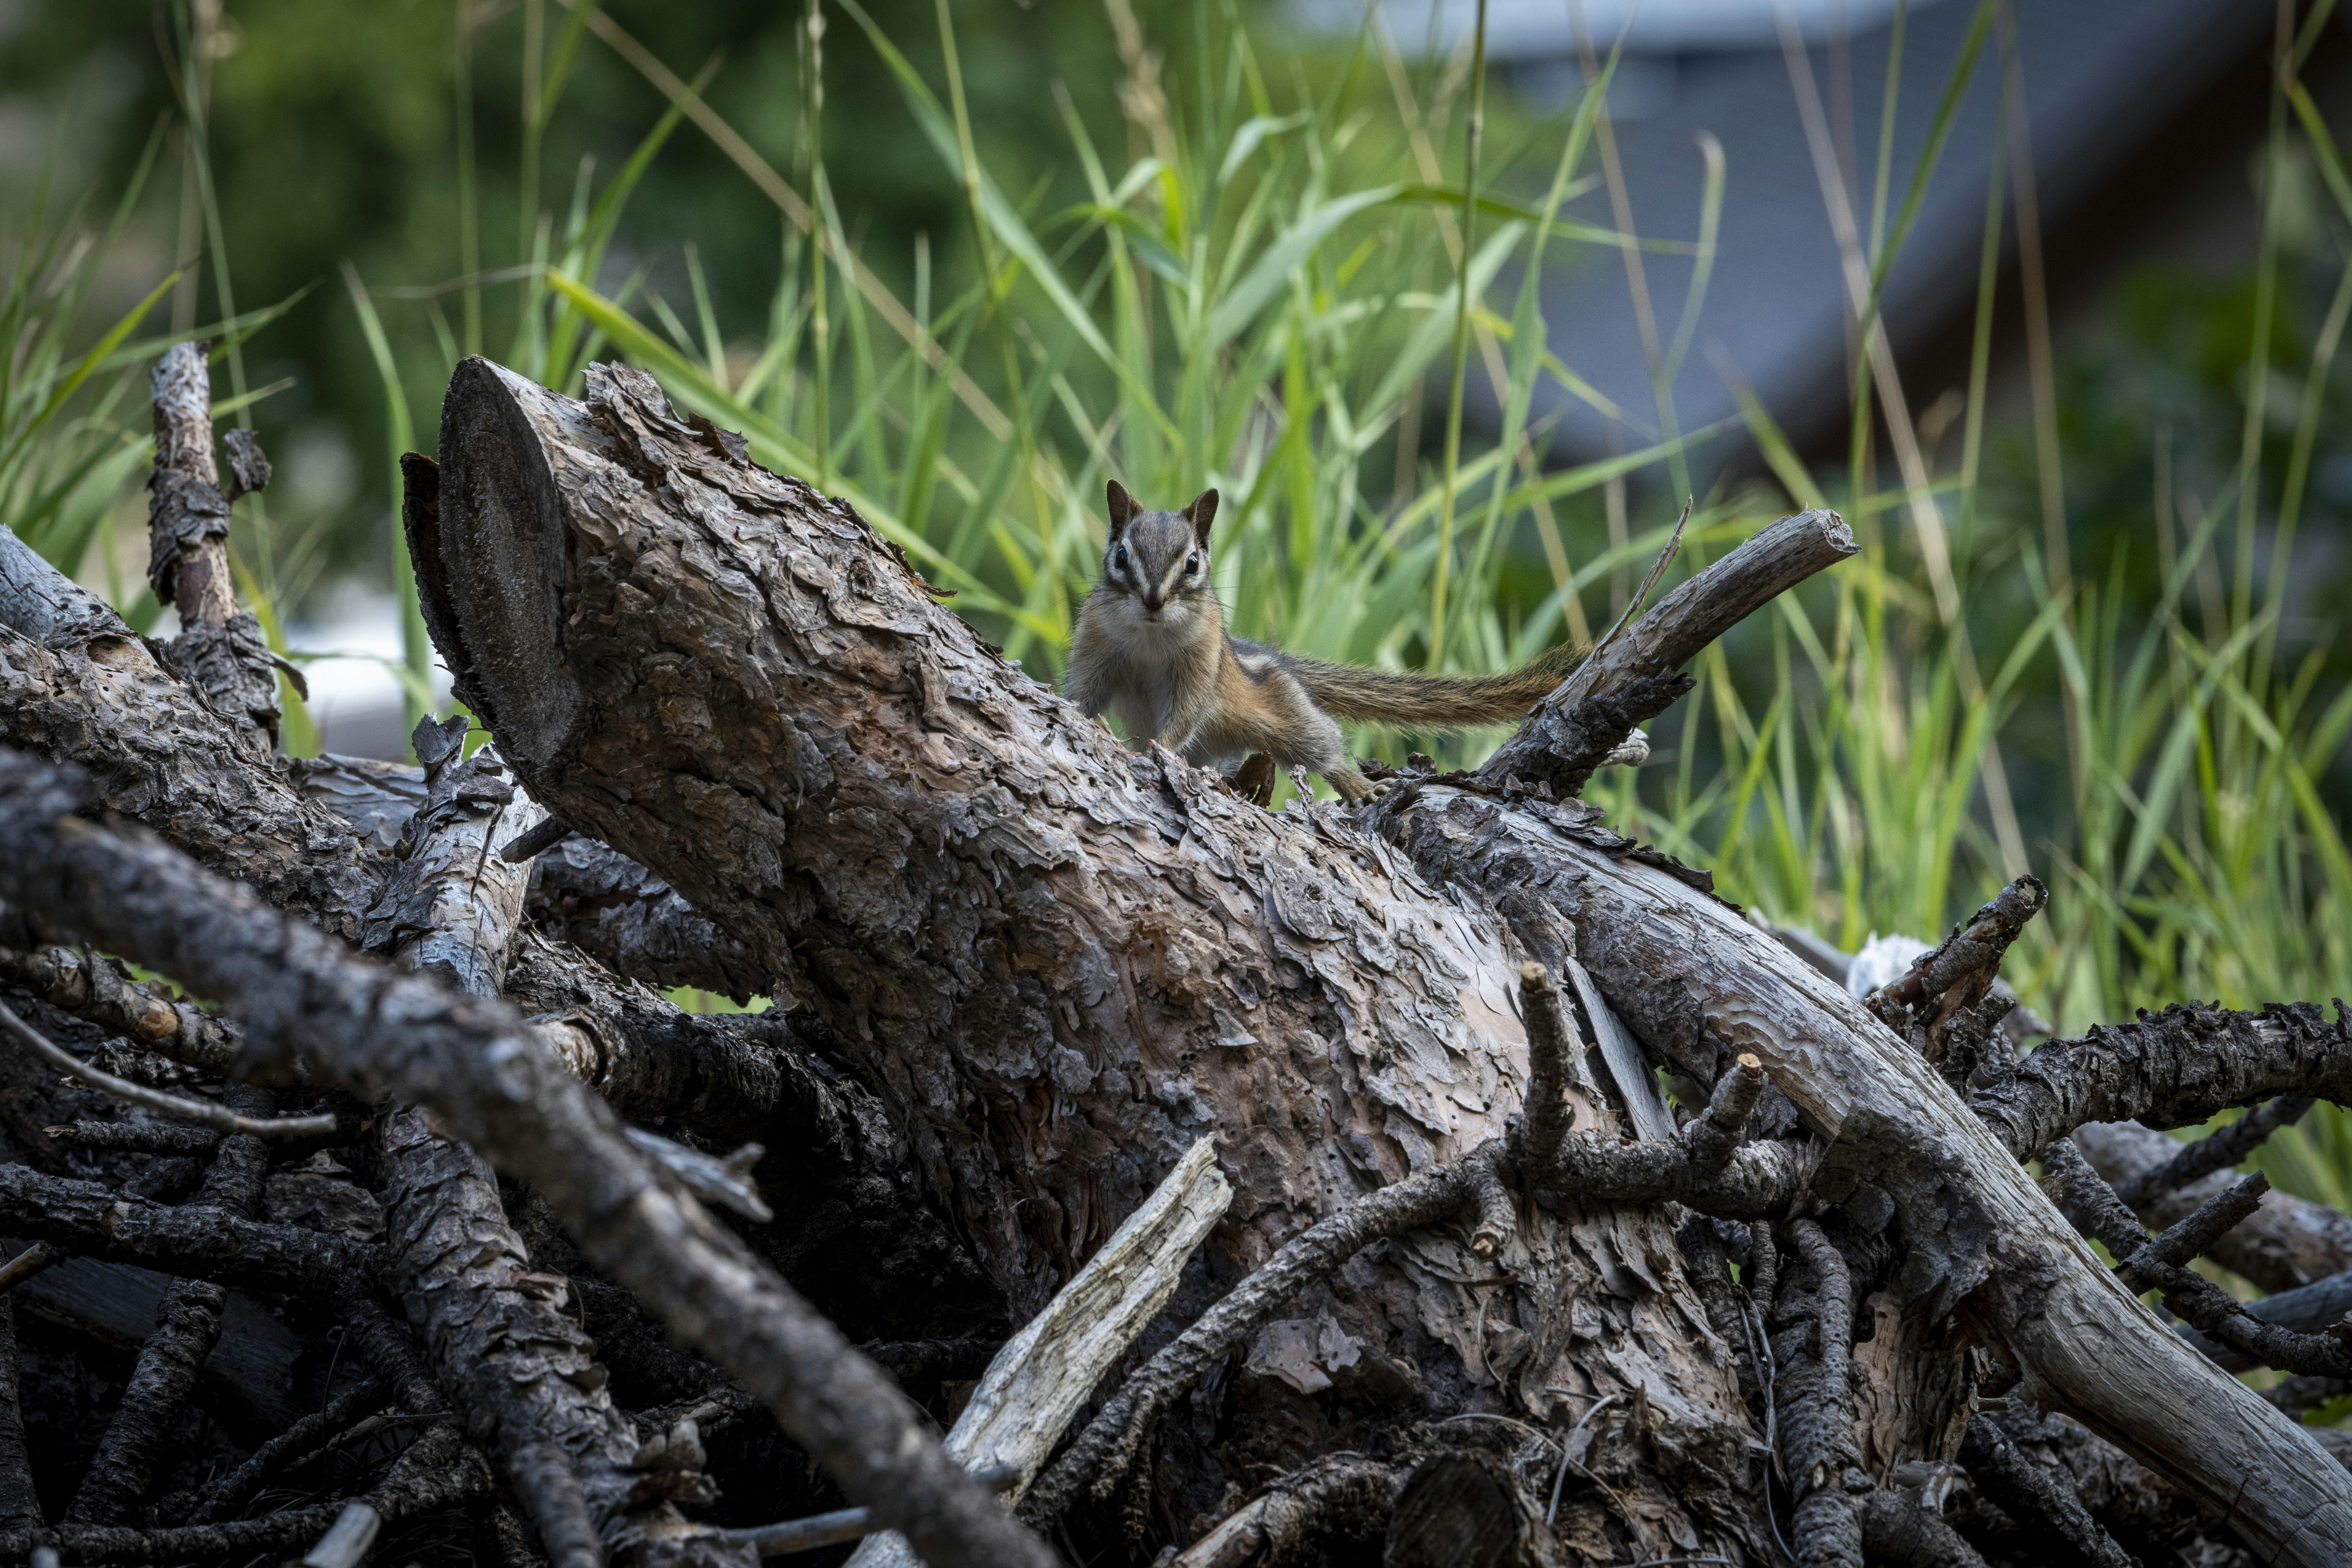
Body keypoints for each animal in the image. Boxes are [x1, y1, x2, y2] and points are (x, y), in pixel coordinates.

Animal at [1066, 480, 1583, 802]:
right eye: (1121, 556)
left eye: (1192, 563)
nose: (1153, 599)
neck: (1150, 634)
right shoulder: (1095, 647)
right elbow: (1084, 695)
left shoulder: (1201, 664)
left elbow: (1185, 713)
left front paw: (1159, 750)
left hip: (1284, 716)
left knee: (1324, 743)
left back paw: (1359, 786)